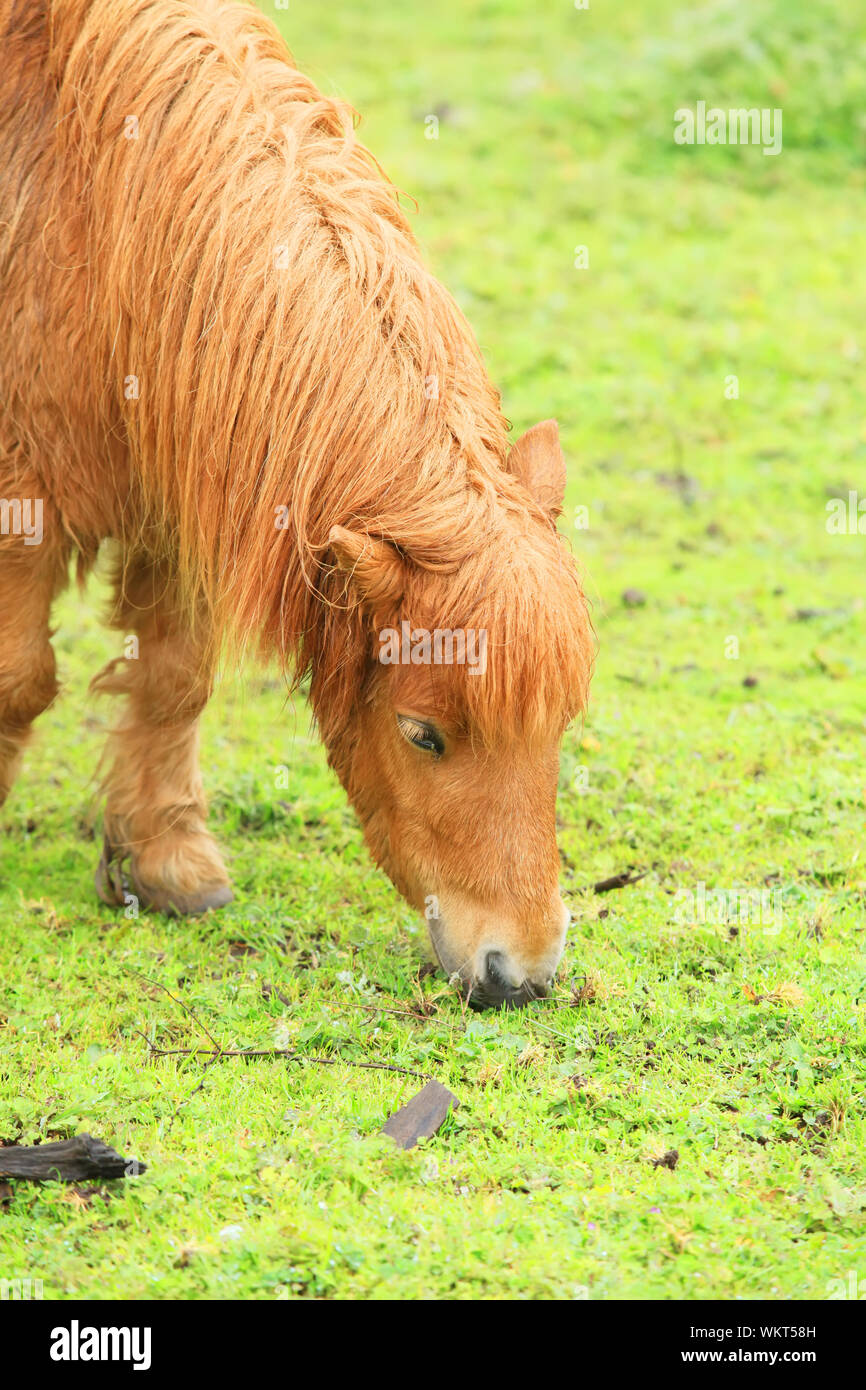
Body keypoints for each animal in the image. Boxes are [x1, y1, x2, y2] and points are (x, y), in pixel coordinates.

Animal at [0, 0, 594, 1008]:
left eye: (559, 724)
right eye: (424, 734)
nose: (520, 972)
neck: (98, 215)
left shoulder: (178, 501)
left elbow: (175, 677)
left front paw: (165, 859)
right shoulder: (23, 502)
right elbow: (19, 681)